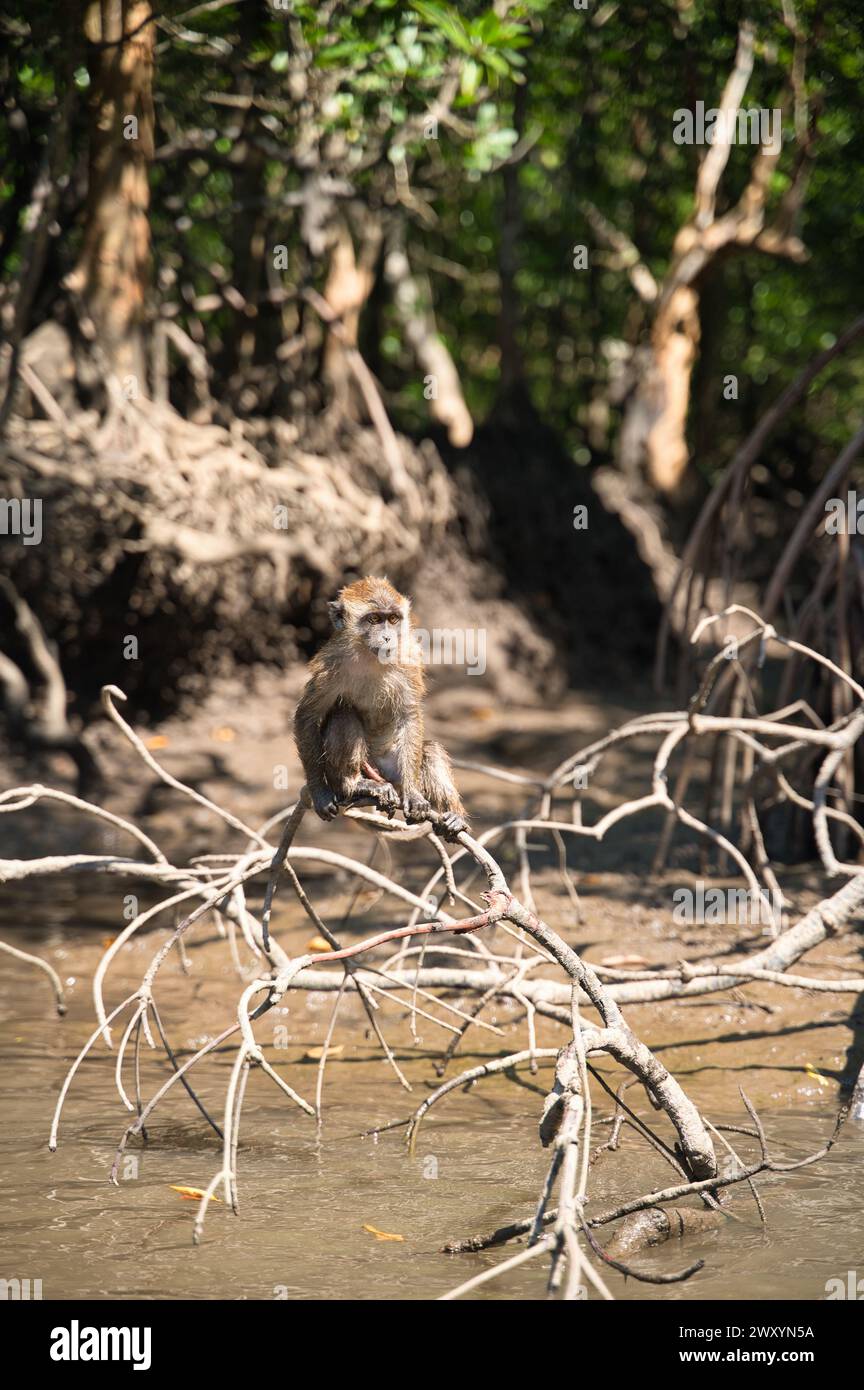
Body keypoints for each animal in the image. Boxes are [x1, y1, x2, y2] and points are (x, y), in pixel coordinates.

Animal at [293, 577, 468, 838]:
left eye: (393, 619)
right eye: (374, 619)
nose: (387, 638)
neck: (371, 657)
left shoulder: (409, 657)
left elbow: (409, 715)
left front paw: (415, 795)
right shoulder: (331, 663)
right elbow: (308, 716)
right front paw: (319, 792)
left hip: (395, 769)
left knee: (430, 751)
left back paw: (453, 815)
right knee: (343, 714)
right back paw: (355, 784)